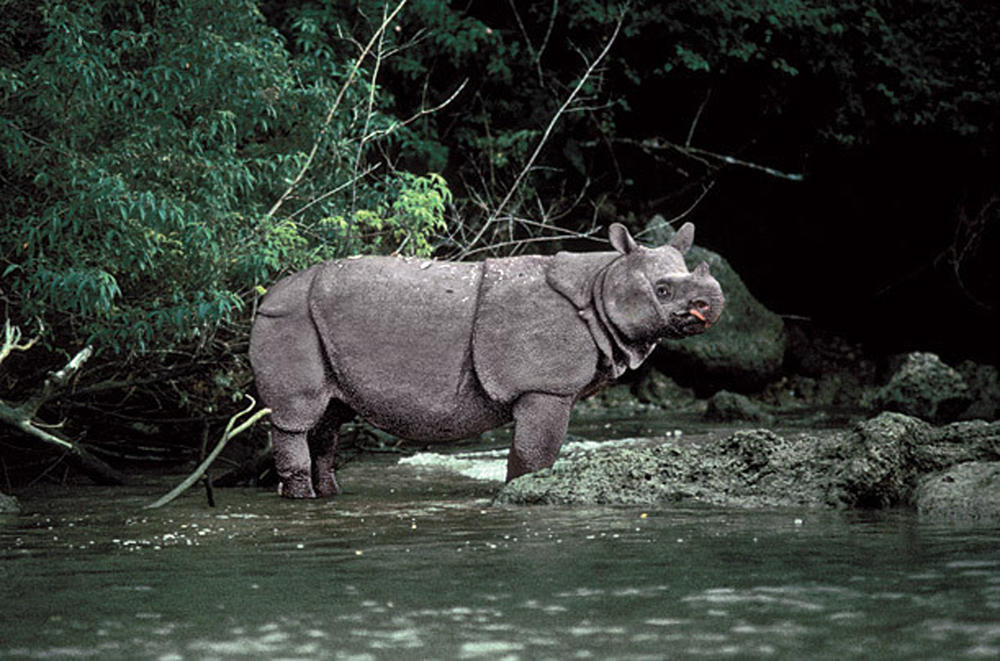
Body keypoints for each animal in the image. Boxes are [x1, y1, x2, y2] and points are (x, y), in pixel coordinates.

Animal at [249, 222, 724, 498]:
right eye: (662, 290)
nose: (712, 304)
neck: (603, 282)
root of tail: (265, 297)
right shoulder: (545, 387)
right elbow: (535, 454)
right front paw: (521, 493)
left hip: (309, 321)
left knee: (330, 417)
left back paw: (330, 494)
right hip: (287, 318)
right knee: (296, 417)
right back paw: (303, 498)